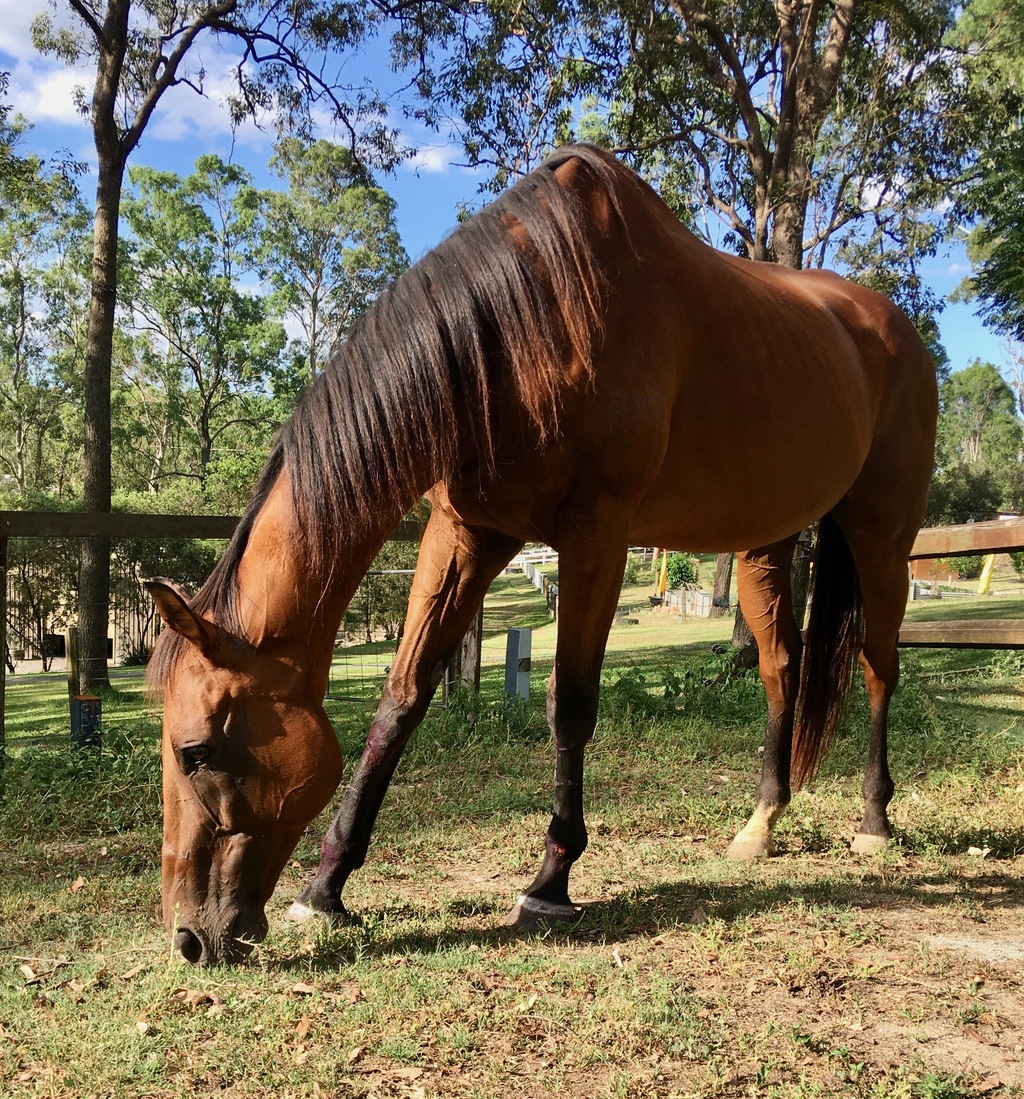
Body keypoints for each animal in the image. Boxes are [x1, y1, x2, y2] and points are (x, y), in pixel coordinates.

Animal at [146, 144, 937, 965]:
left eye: (195, 752)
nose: (189, 937)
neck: (520, 332)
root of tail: (894, 330)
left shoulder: (597, 539)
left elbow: (570, 703)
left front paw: (551, 880)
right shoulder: (463, 534)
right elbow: (401, 698)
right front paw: (326, 888)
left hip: (883, 537)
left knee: (879, 665)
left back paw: (875, 819)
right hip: (765, 544)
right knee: (781, 667)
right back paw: (761, 823)